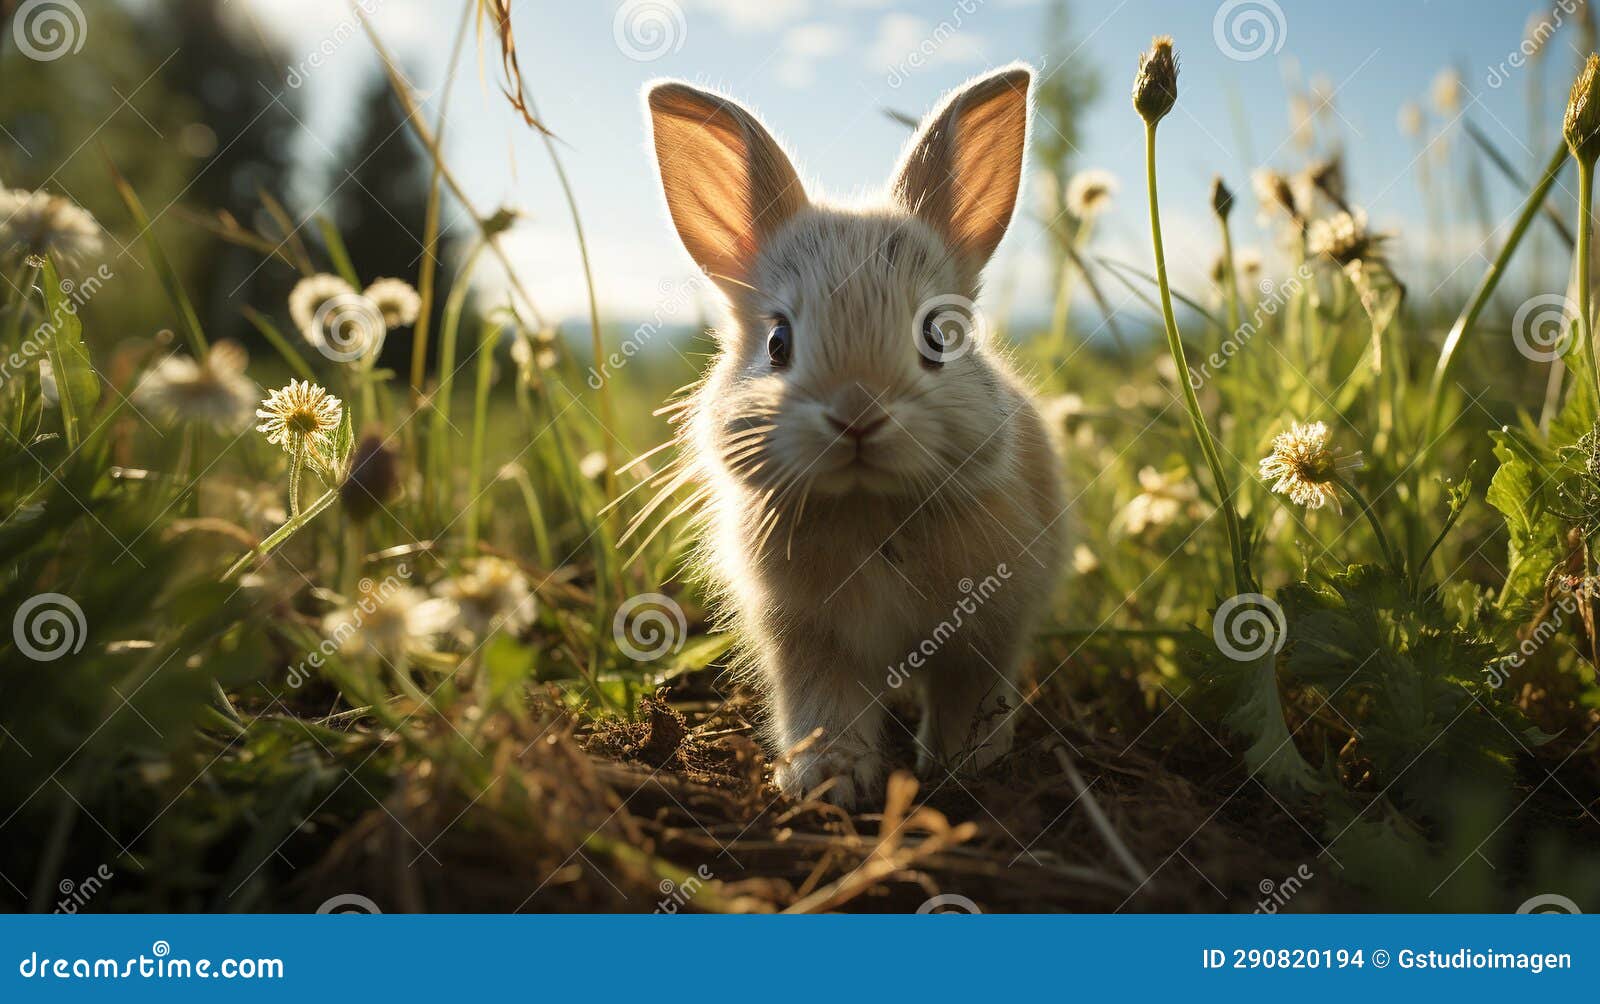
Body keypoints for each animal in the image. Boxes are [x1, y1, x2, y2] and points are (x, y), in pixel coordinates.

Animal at [643, 64, 1064, 808]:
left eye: (938, 336)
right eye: (778, 343)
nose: (858, 412)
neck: (870, 505)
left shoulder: (988, 630)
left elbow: (969, 692)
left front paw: (968, 762)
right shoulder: (809, 642)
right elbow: (826, 704)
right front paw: (829, 777)